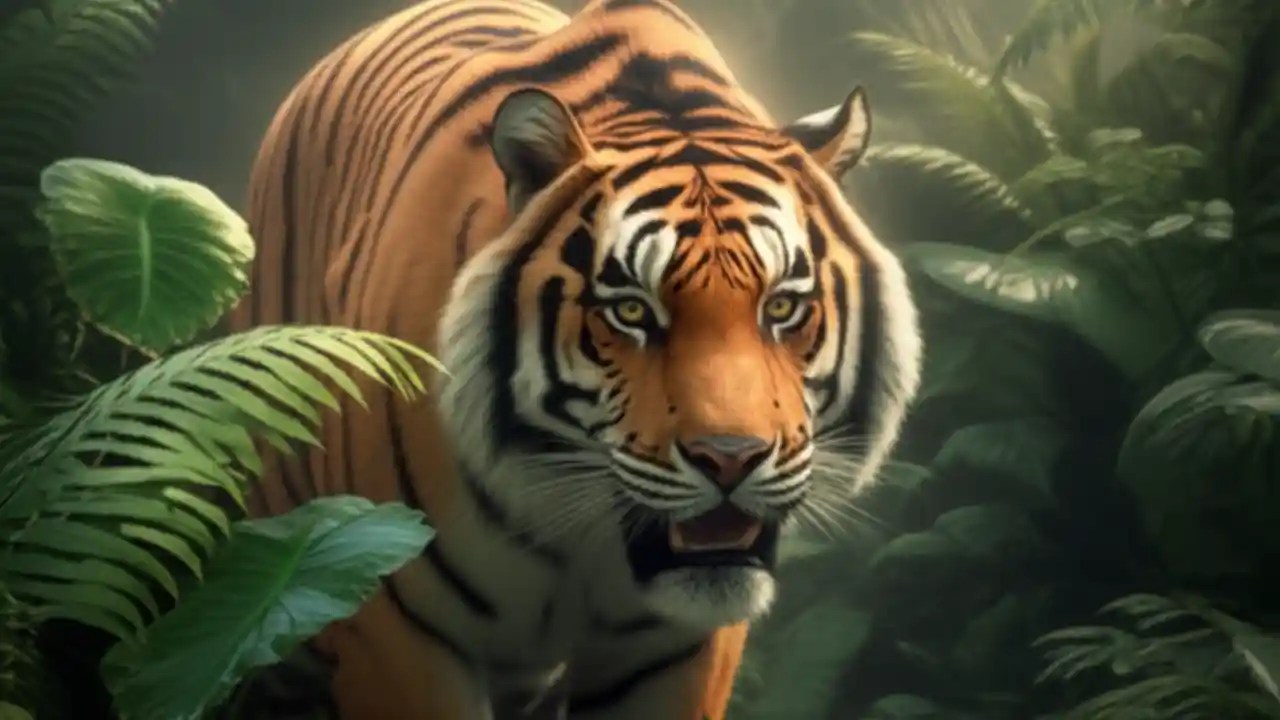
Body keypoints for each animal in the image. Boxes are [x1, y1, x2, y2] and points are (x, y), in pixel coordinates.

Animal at [225, 0, 923, 718]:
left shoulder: (678, 649)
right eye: (632, 312)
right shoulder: (395, 623)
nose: (731, 458)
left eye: (781, 306)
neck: (585, 539)